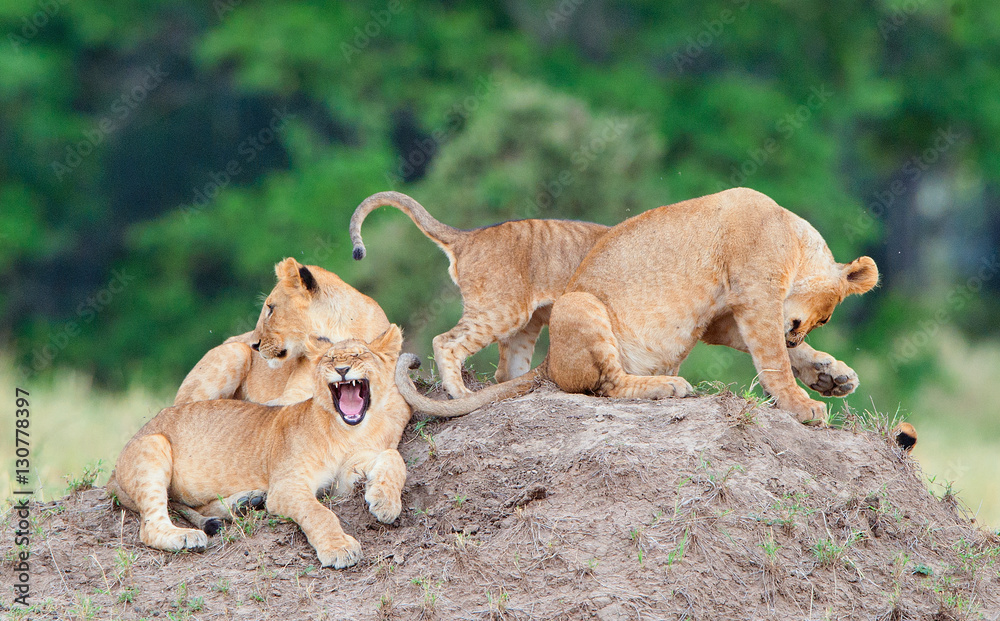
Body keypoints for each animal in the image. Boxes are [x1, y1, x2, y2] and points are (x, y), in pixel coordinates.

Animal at [107, 326, 410, 569]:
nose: (342, 370)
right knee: (151, 525)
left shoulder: (345, 479)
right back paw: (186, 535)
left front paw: (385, 501)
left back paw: (245, 502)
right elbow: (319, 513)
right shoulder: (287, 485)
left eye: (358, 355)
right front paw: (339, 548)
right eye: (330, 359)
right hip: (153, 444)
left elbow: (393, 457)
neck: (346, 431)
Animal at [351, 191, 609, 398]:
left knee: (505, 372)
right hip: (503, 312)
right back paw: (460, 393)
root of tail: (468, 236)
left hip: (523, 322)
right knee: (445, 342)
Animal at [395, 188, 879, 425]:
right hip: (577, 304)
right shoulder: (756, 295)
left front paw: (831, 375)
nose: (799, 333)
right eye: (828, 316)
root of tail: (549, 364)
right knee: (606, 385)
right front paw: (802, 404)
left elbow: (779, 351)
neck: (793, 235)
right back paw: (666, 386)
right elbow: (774, 358)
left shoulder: (723, 317)